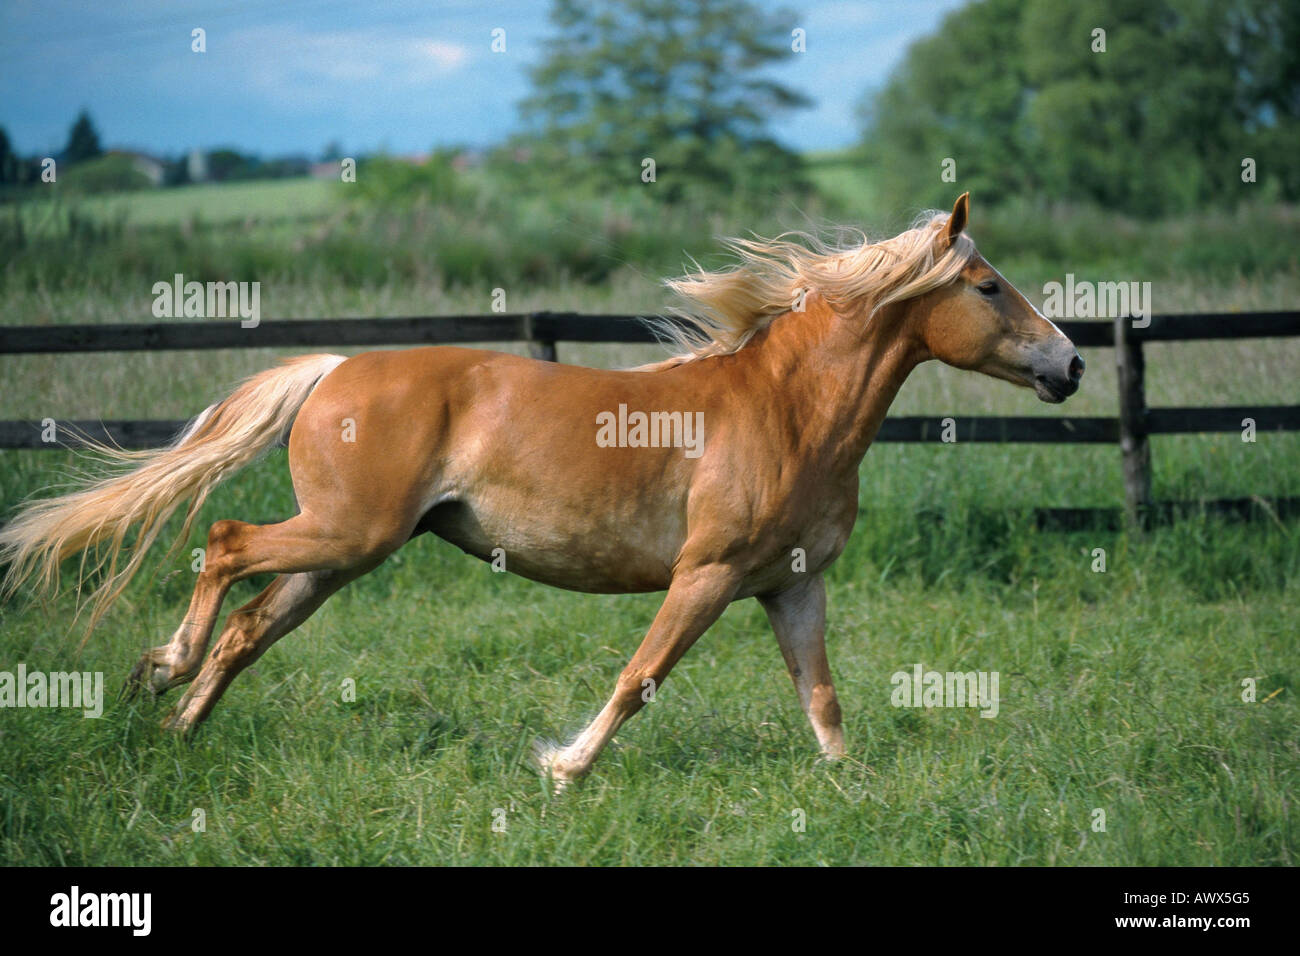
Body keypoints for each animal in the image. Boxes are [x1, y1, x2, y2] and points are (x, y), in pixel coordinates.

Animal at [0, 193, 1083, 788]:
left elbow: (822, 699)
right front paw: (562, 767)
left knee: (249, 626)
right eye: (986, 286)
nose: (1069, 365)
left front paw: (848, 790)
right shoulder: (707, 574)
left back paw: (178, 726)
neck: (787, 409)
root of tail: (336, 367)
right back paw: (162, 671)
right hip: (345, 534)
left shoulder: (792, 583)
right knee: (225, 543)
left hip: (342, 555)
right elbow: (639, 677)